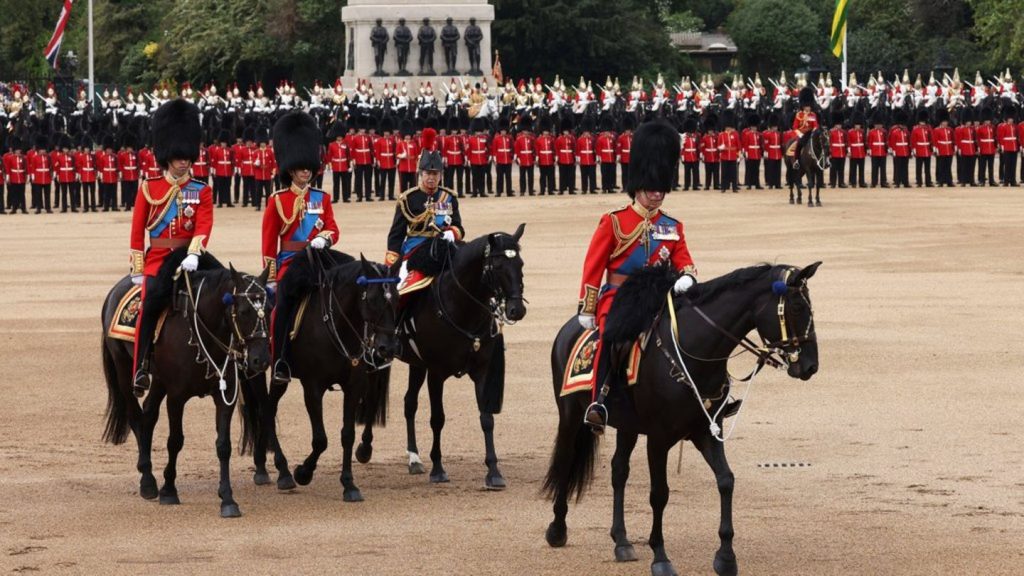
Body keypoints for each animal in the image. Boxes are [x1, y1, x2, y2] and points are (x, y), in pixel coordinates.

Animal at [99, 251, 272, 516]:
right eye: (243, 311)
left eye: (269, 308)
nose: (260, 360)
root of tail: (117, 288)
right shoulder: (176, 396)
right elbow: (175, 441)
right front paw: (169, 490)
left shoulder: (226, 394)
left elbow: (223, 445)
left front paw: (228, 499)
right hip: (123, 368)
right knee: (136, 417)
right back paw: (148, 481)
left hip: (159, 380)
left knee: (148, 415)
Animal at [251, 249, 403, 500]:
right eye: (371, 299)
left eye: (397, 298)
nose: (387, 348)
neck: (337, 325)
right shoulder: (313, 387)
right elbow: (321, 439)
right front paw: (303, 472)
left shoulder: (353, 386)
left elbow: (347, 434)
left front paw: (349, 484)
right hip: (265, 372)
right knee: (266, 410)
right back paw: (283, 472)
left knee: (268, 409)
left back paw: (263, 466)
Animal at [356, 222, 528, 485]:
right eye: (497, 266)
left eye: (520, 264)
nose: (516, 309)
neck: (462, 308)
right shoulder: (436, 374)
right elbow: (438, 418)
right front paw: (438, 468)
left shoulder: (482, 371)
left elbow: (486, 418)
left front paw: (493, 471)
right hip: (379, 354)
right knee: (374, 396)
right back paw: (365, 448)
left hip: (417, 364)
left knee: (409, 403)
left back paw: (414, 459)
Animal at [548, 261, 819, 573]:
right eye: (797, 307)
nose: (811, 366)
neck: (696, 353)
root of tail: (568, 328)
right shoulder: (658, 439)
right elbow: (659, 493)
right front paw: (660, 556)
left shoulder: (706, 431)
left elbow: (726, 480)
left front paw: (726, 556)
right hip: (570, 414)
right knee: (567, 460)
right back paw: (557, 529)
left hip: (628, 425)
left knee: (619, 470)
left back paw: (622, 541)